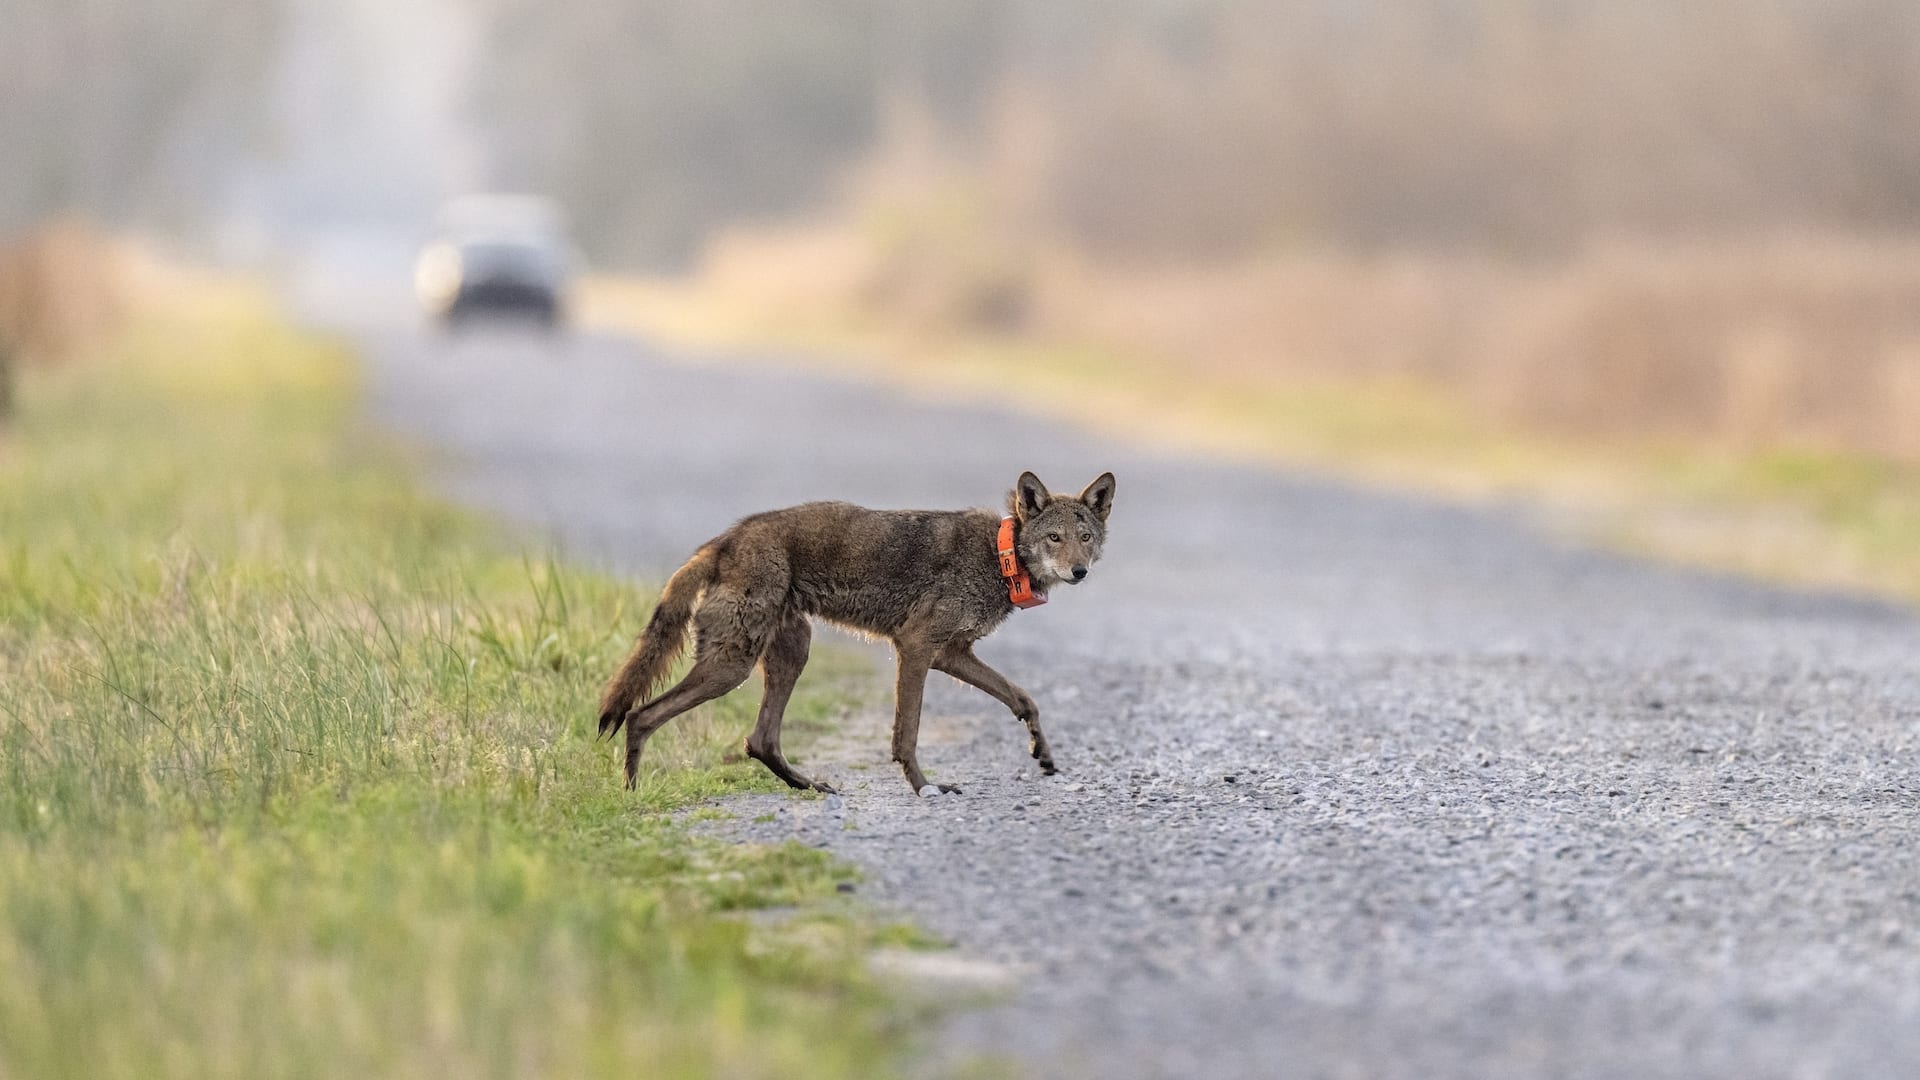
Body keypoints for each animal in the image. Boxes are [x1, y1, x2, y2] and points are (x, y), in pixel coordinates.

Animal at [597, 471, 1115, 795]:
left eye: (1085, 537)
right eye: (1054, 538)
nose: (1079, 571)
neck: (999, 555)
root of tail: (725, 539)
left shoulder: (951, 653)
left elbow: (1023, 698)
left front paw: (1042, 754)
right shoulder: (916, 647)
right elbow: (907, 734)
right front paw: (926, 787)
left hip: (789, 655)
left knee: (759, 740)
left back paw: (809, 786)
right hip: (732, 667)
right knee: (641, 715)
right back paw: (632, 796)